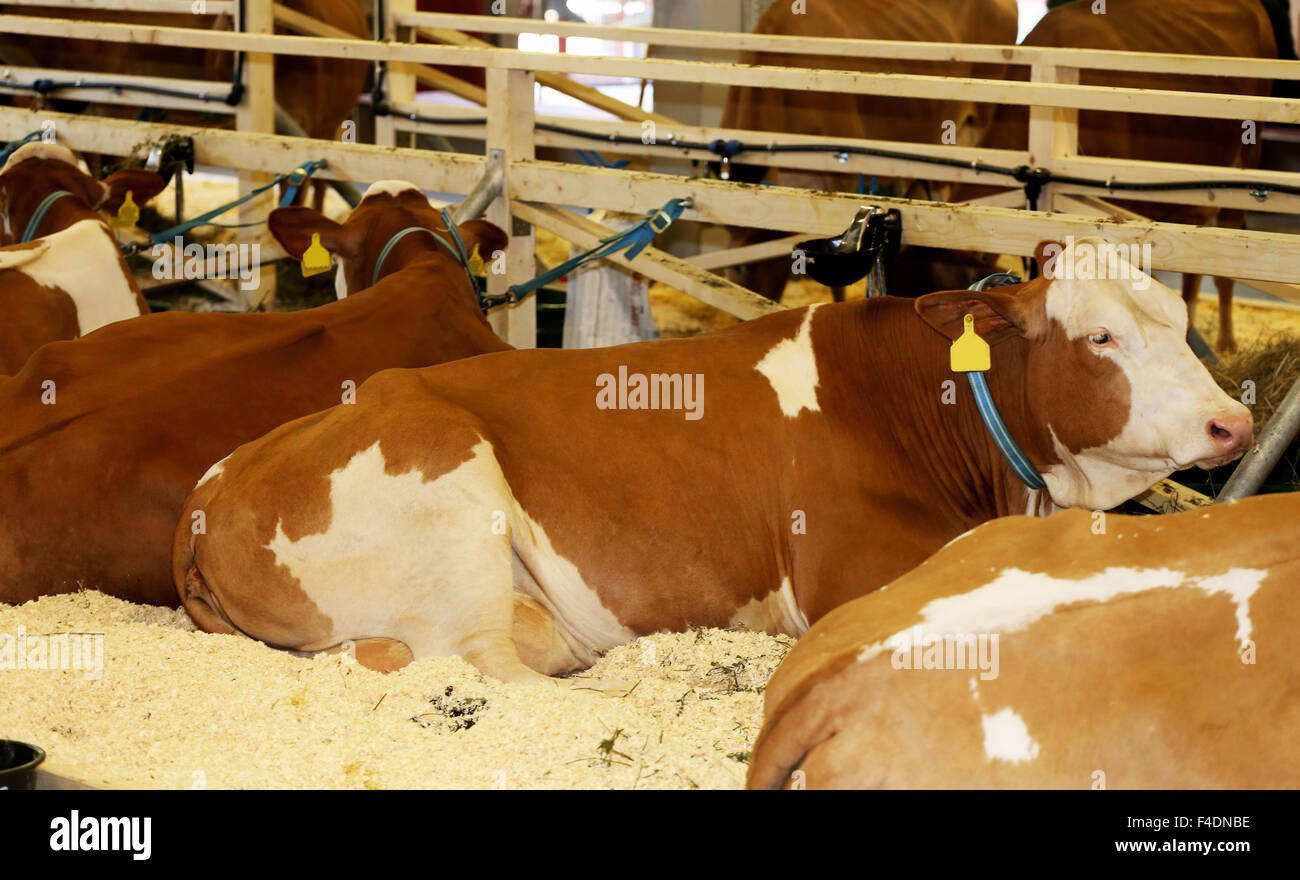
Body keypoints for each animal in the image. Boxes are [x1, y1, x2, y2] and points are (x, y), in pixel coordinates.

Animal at [173, 237, 1252, 685]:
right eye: (1102, 337)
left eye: (1181, 319)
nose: (1231, 425)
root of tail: (216, 482)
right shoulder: (851, 569)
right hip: (449, 479)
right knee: (492, 670)